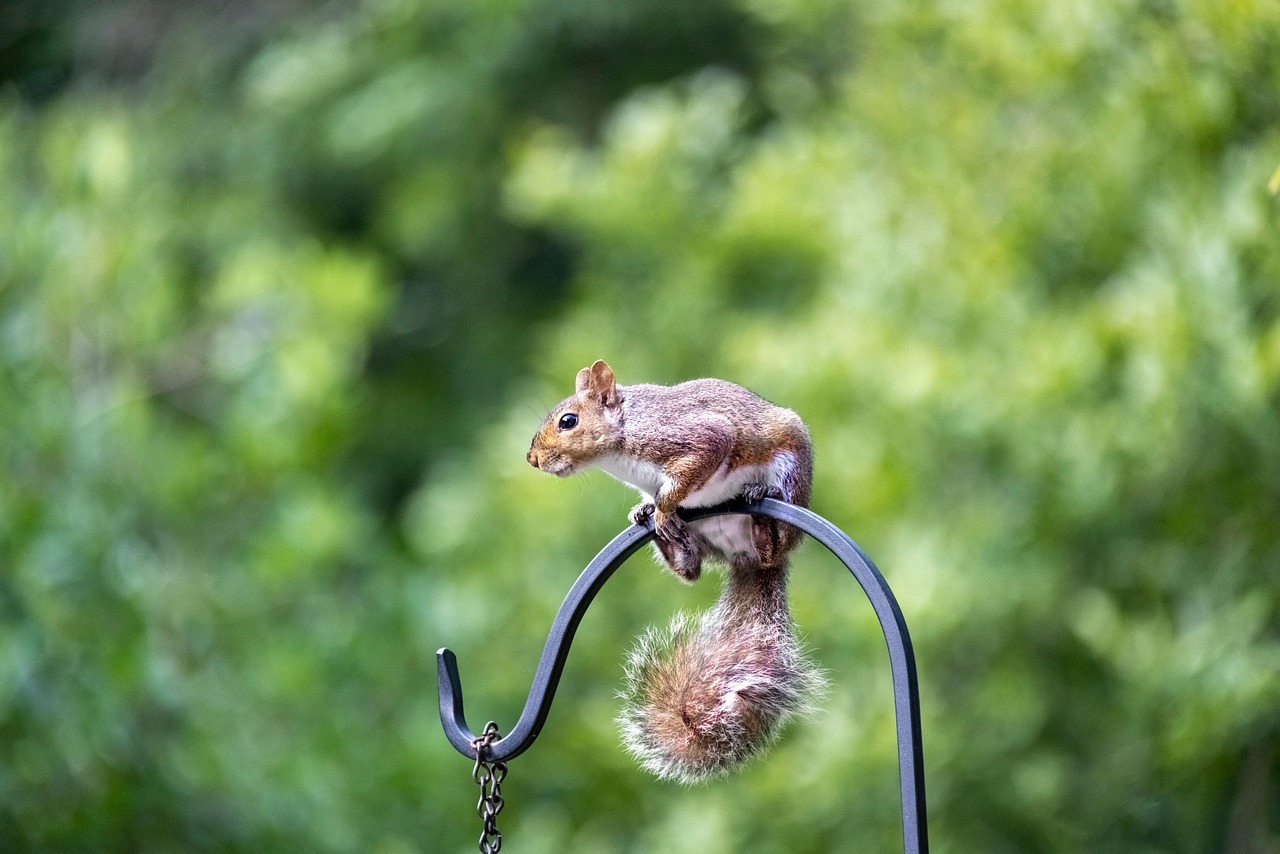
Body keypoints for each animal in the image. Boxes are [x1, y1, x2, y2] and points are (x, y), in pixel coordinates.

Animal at [527, 360, 824, 783]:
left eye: (569, 421)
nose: (532, 459)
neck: (624, 437)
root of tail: (744, 555)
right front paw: (646, 509)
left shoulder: (694, 439)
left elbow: (687, 474)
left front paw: (663, 508)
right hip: (701, 538)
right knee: (691, 568)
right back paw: (665, 536)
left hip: (790, 468)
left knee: (774, 546)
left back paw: (762, 518)